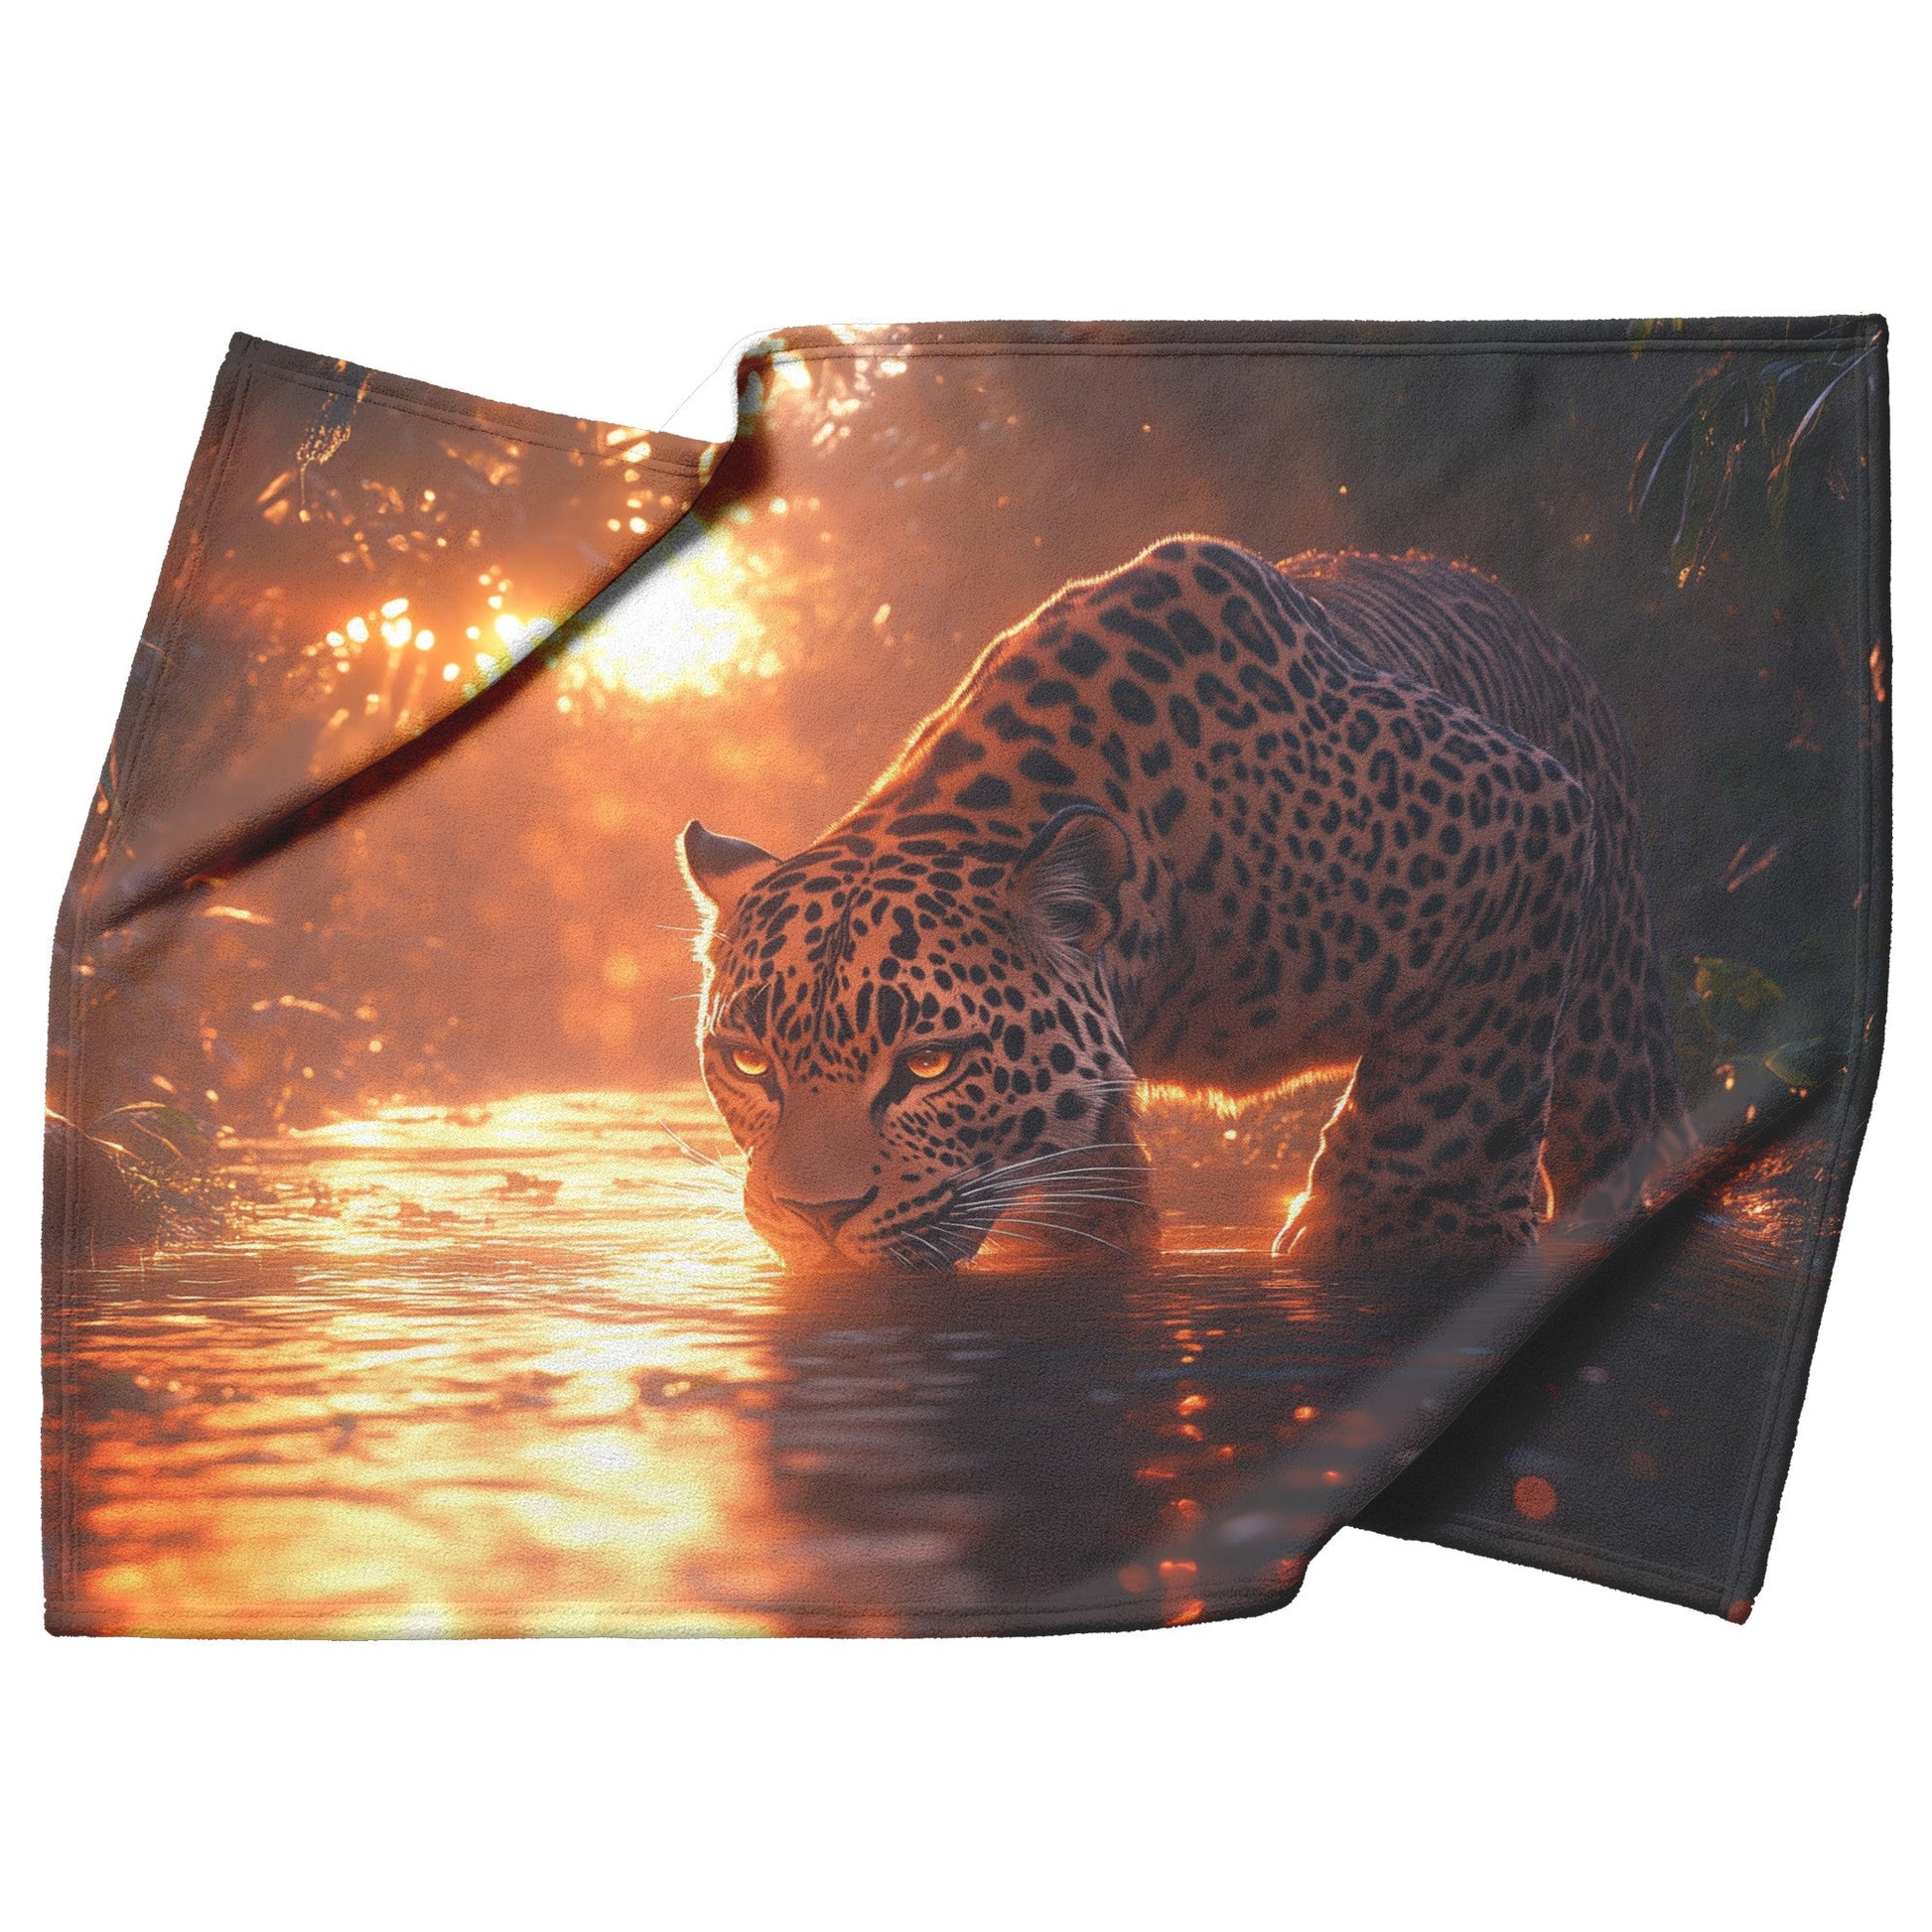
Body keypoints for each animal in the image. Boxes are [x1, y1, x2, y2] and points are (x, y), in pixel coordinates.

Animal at [678, 535, 1688, 1274]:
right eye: (748, 1062)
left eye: (929, 1065)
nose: (816, 1219)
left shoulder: (1522, 816)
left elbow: (1449, 1098)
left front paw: (1389, 1232)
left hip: (1608, 1011)